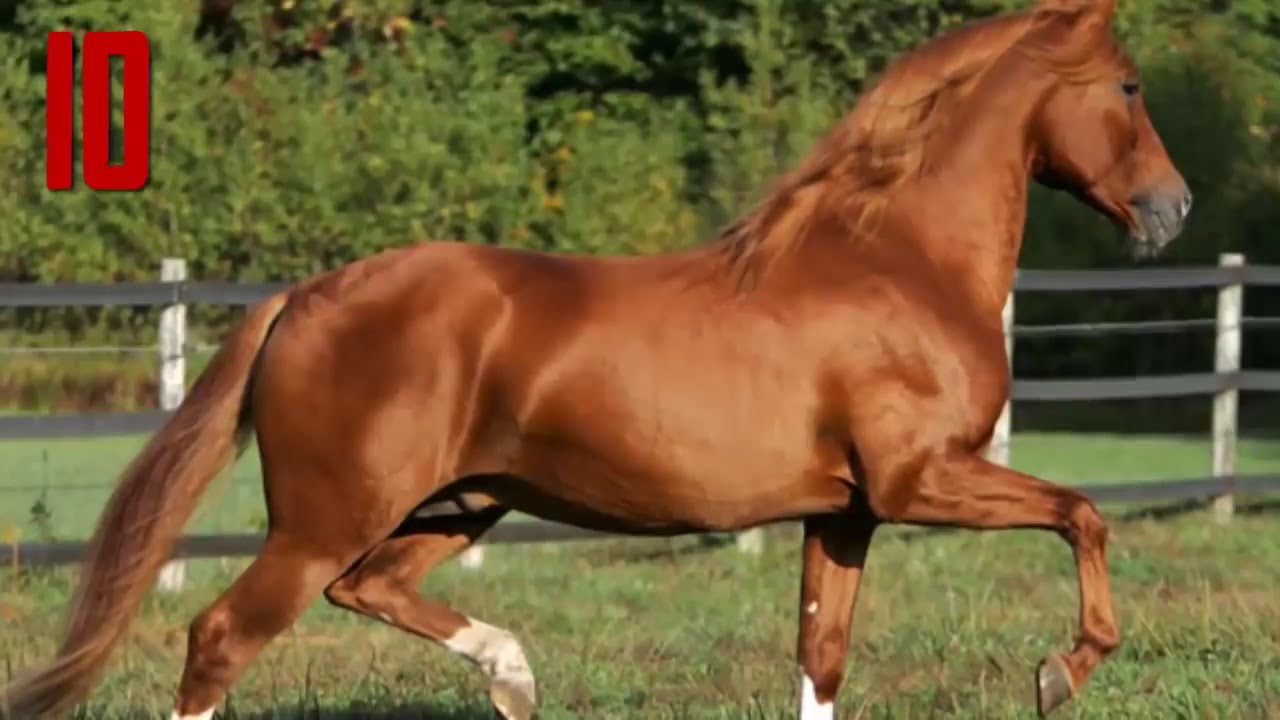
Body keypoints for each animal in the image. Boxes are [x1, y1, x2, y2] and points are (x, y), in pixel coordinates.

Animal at [2, 0, 1192, 718]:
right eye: (1132, 88)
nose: (1171, 209)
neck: (896, 259)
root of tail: (306, 295)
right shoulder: (921, 481)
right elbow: (1083, 513)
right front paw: (1057, 671)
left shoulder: (847, 512)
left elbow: (821, 660)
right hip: (326, 520)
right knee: (221, 635)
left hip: (454, 504)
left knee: (367, 589)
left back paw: (513, 673)